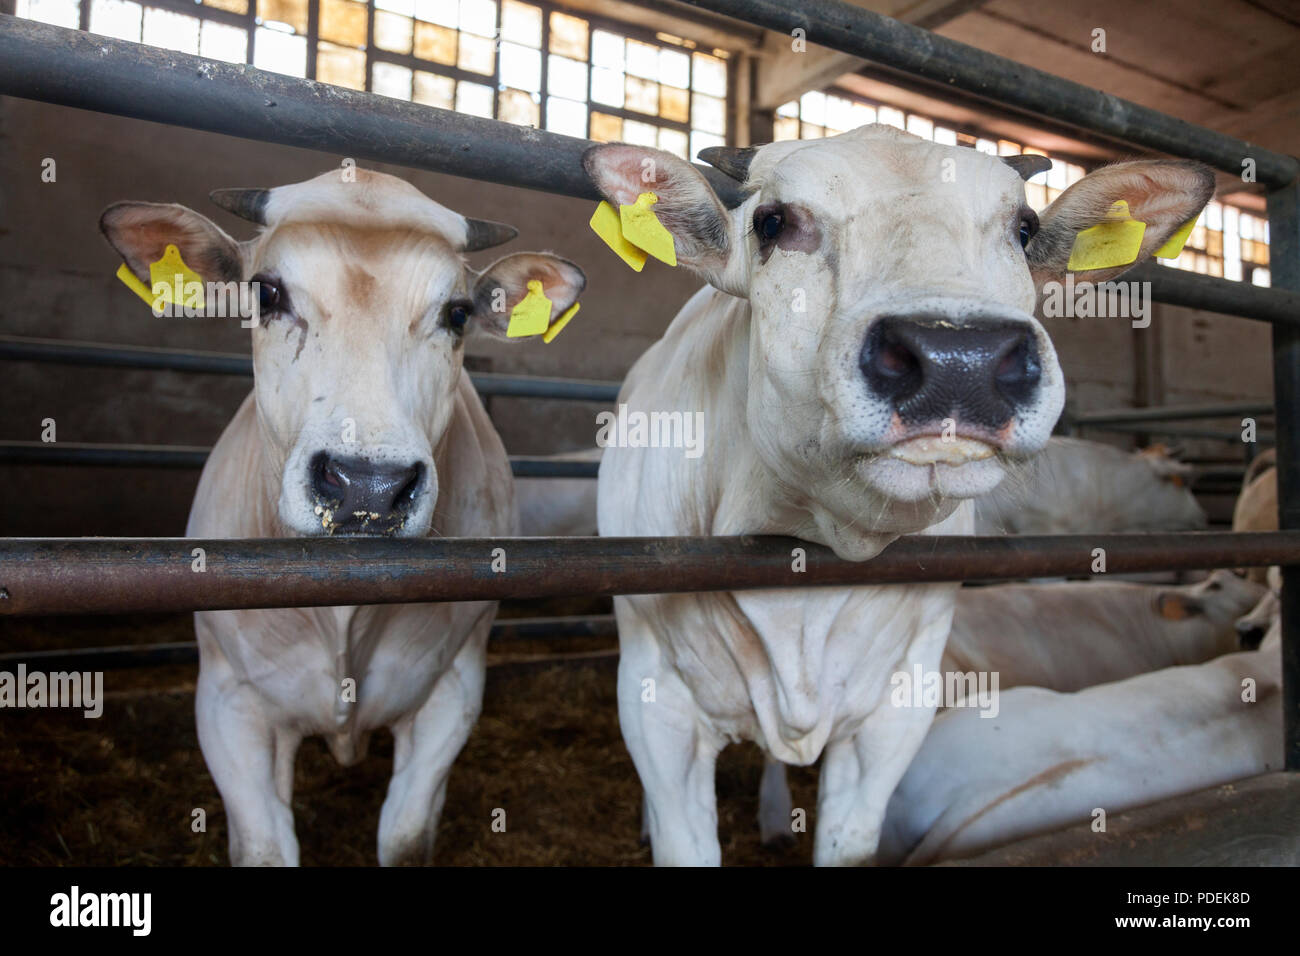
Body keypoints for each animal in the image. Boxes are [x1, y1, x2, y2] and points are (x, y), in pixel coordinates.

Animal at [99, 169, 585, 865]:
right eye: (267, 292)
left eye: (457, 312)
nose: (369, 485)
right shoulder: (228, 700)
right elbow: (265, 847)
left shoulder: (454, 689)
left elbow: (405, 838)